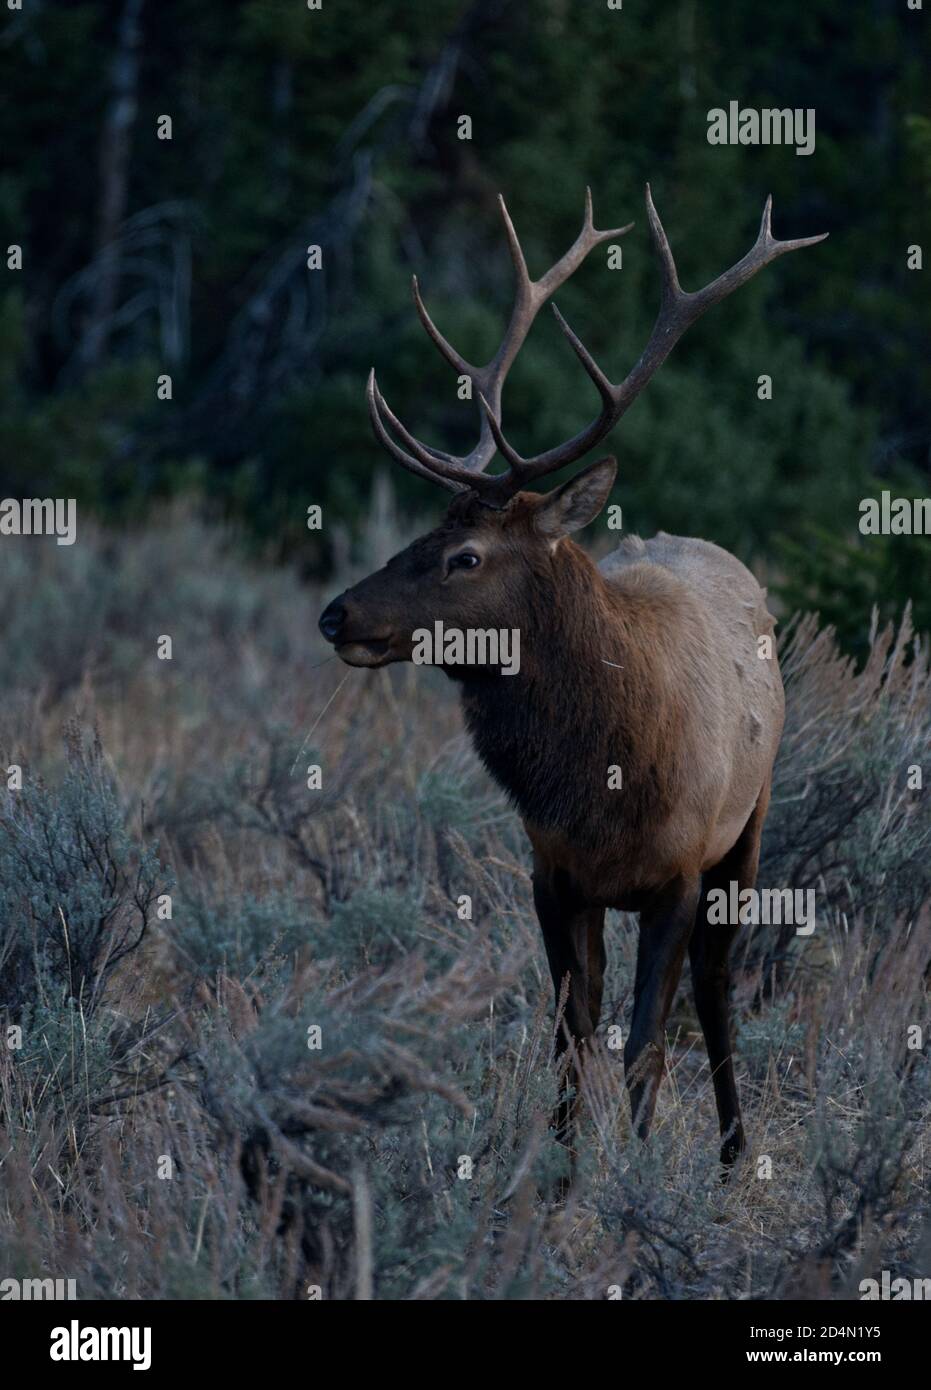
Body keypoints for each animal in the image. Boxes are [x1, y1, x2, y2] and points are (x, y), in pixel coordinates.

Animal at [319, 187, 826, 1171]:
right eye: (422, 534)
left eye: (466, 556)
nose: (337, 615)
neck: (603, 779)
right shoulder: (551, 871)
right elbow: (569, 1037)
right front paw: (557, 1181)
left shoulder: (677, 874)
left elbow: (643, 1047)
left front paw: (633, 1181)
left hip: (748, 826)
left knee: (716, 989)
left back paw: (732, 1153)